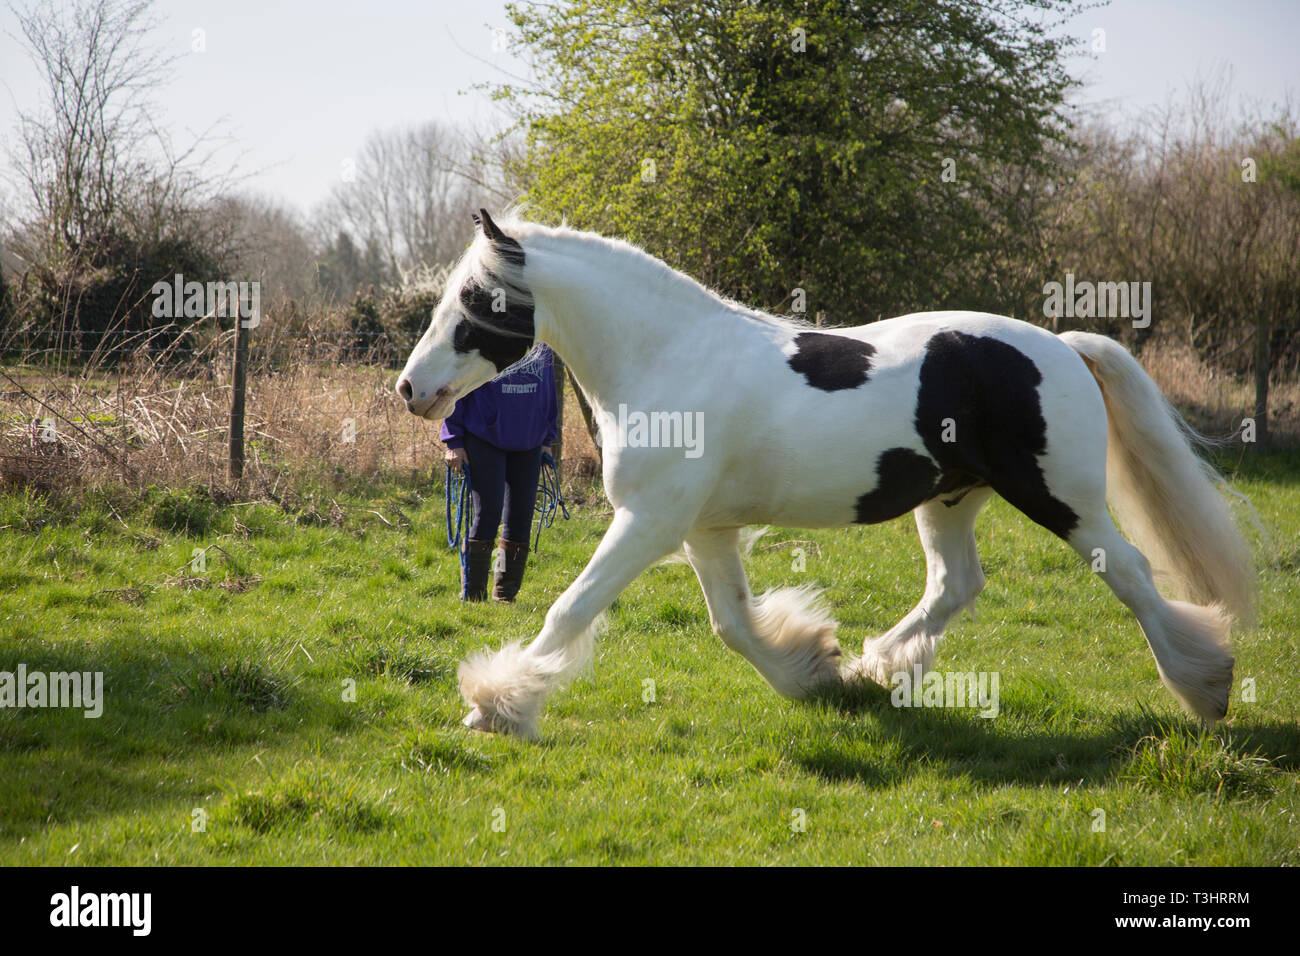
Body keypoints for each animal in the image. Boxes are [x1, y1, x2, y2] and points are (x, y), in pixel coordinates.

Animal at [396, 208, 1256, 740]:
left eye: (474, 298)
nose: (410, 389)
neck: (668, 356)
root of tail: (1062, 345)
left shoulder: (650, 523)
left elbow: (569, 610)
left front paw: (495, 707)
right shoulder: (704, 531)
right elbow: (735, 625)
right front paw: (817, 670)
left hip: (1062, 498)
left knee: (1133, 574)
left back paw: (1206, 685)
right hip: (950, 499)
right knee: (957, 584)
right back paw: (881, 665)